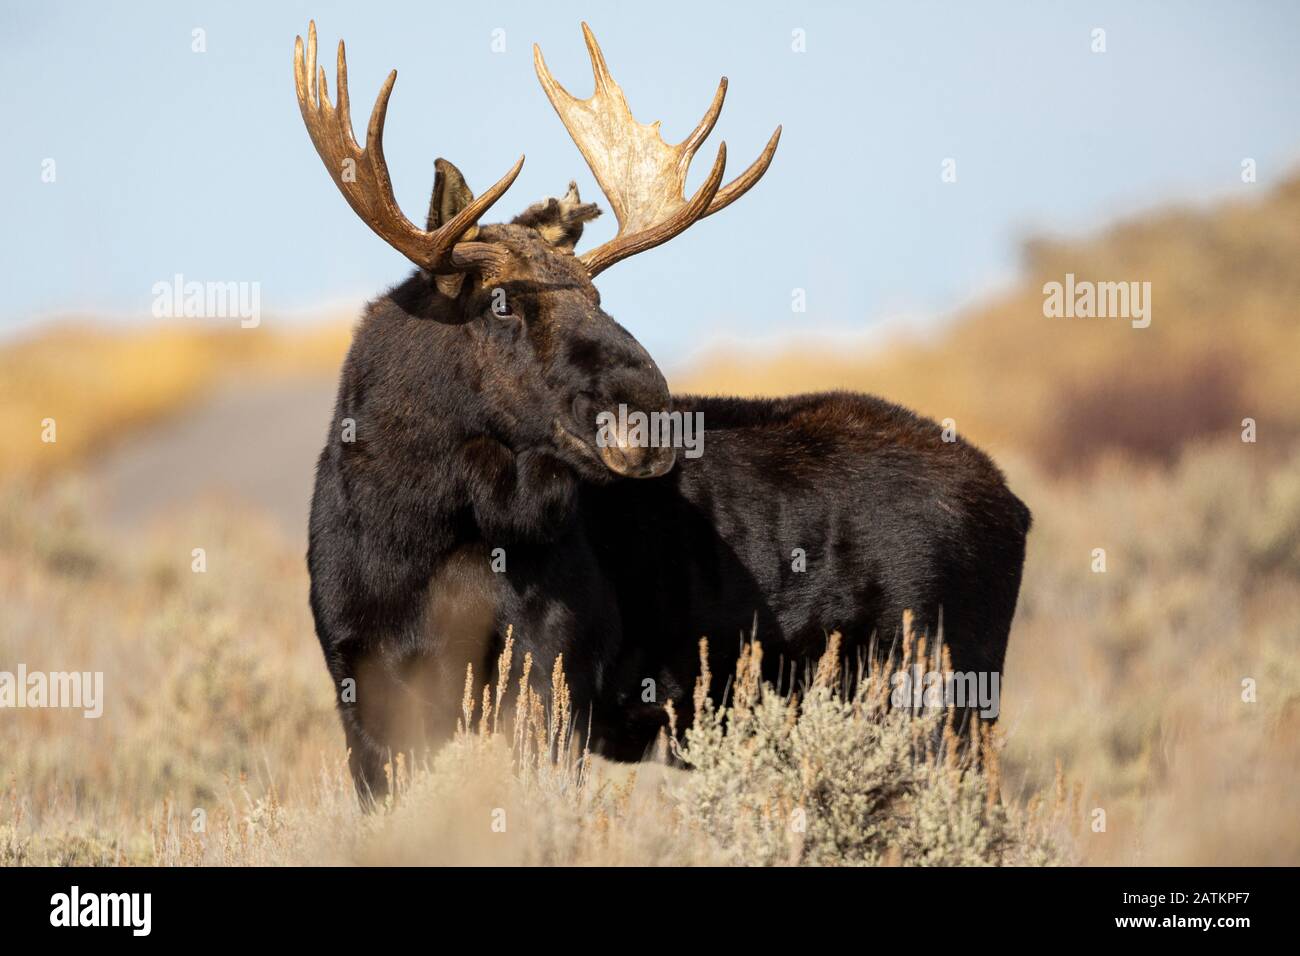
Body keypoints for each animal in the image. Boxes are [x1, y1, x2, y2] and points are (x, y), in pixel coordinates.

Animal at [296, 21, 1032, 802]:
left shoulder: (551, 672)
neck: (410, 524)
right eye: (502, 302)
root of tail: (1016, 507)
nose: (646, 414)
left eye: (596, 298)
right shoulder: (362, 690)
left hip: (940, 691)